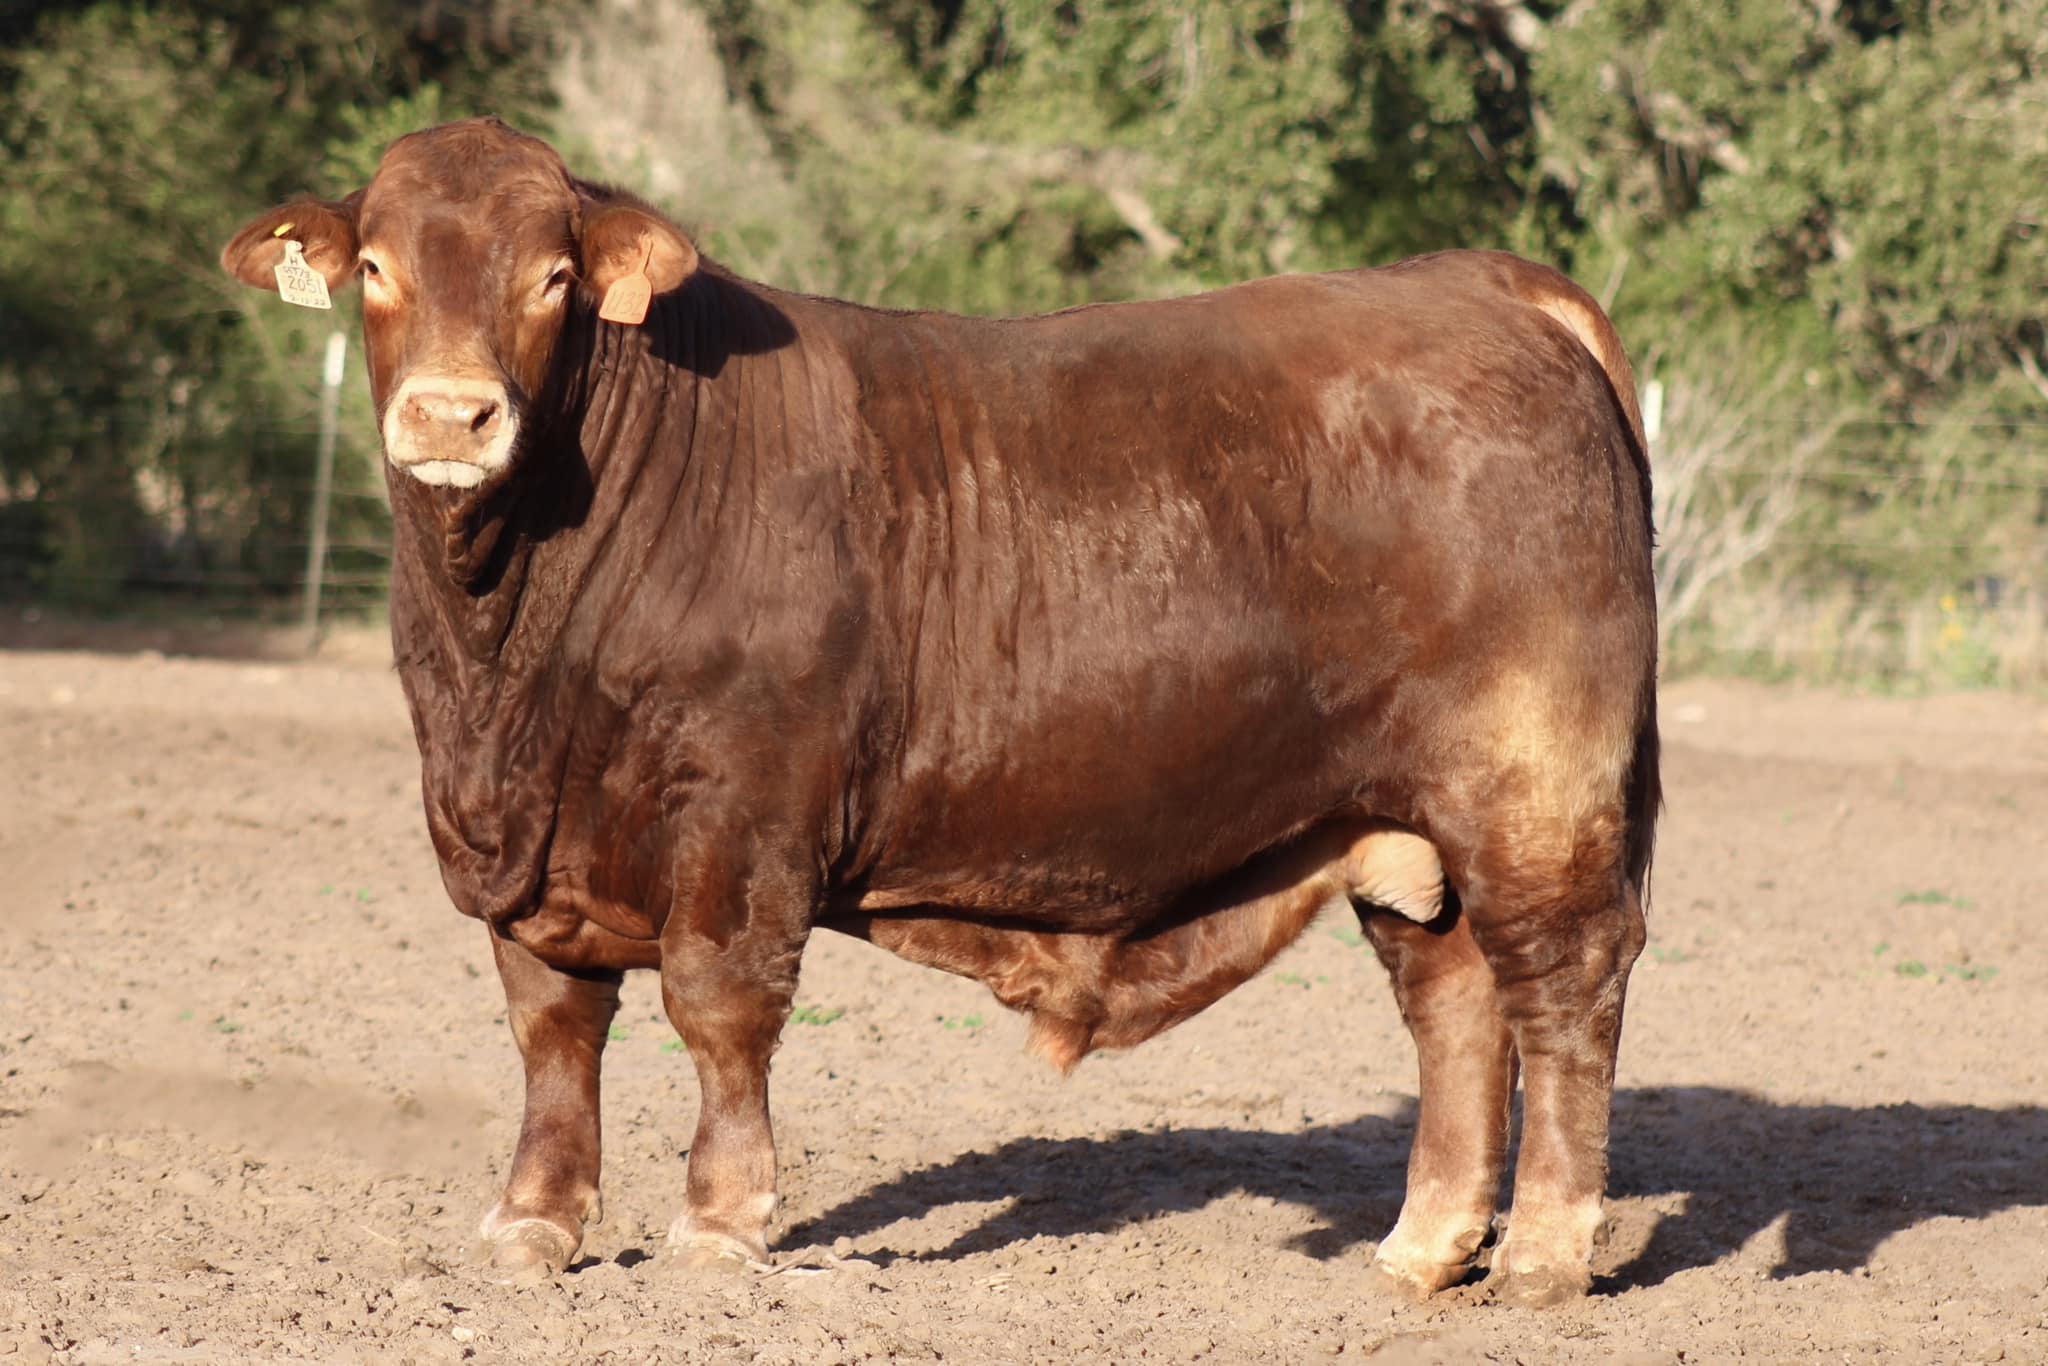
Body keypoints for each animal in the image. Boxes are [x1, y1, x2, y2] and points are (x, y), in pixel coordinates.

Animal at [221, 118, 1658, 1307]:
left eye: (552, 281)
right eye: (376, 271)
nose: (452, 414)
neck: (510, 654)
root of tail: (1470, 281)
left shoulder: (743, 805)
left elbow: (717, 1002)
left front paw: (719, 1225)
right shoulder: (524, 840)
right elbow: (550, 1022)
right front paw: (533, 1222)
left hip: (1533, 788)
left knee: (1563, 984)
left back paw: (1539, 1255)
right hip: (1400, 813)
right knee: (1455, 997)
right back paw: (1421, 1247)